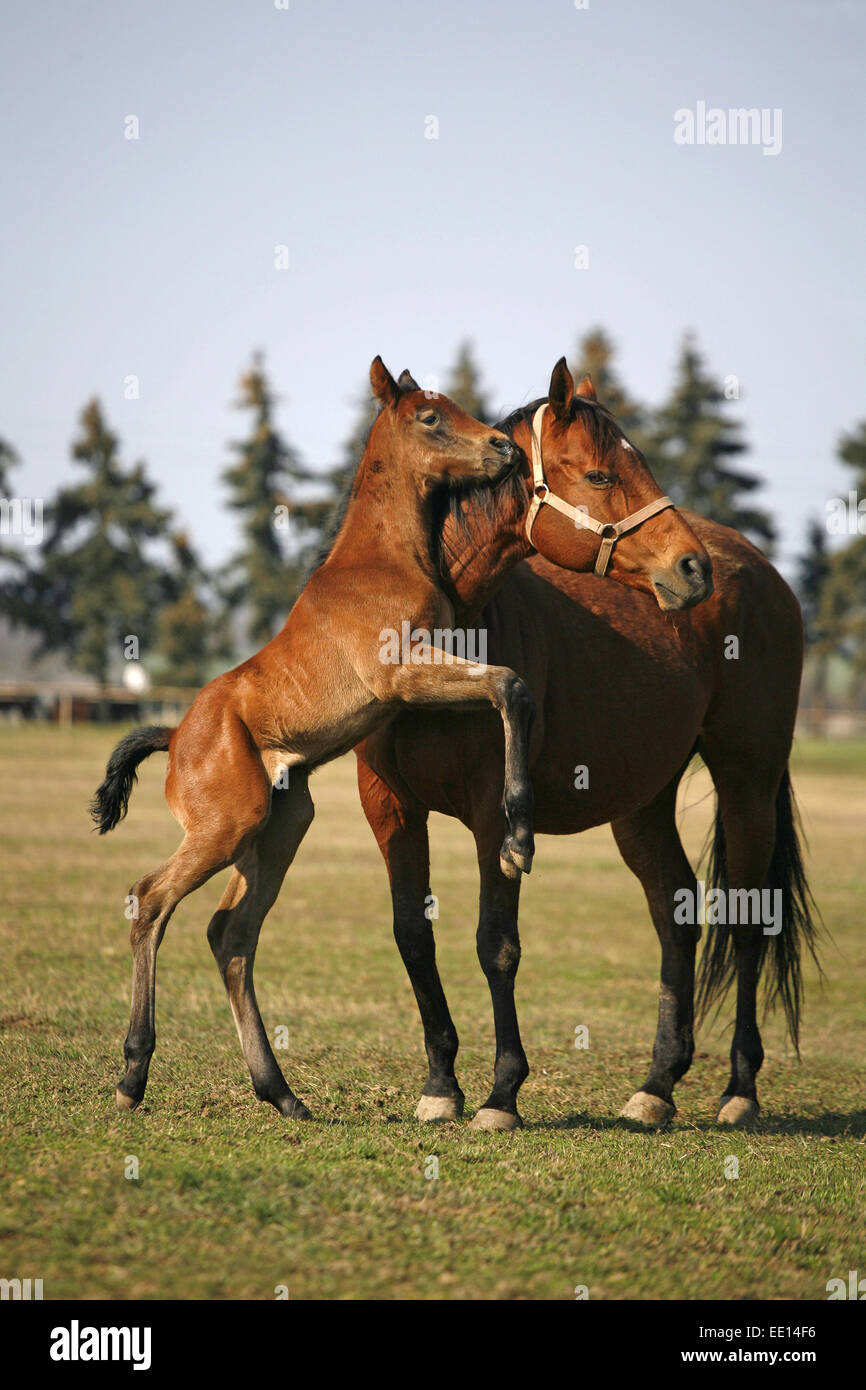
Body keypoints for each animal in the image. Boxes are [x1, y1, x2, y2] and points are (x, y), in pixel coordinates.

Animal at [93, 356, 711, 1120]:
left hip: (280, 824)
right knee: (151, 900)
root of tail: (177, 733)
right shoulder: (403, 676)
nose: (502, 450)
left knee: (230, 933)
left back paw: (282, 1093)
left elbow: (506, 686)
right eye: (430, 416)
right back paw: (132, 1075)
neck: (381, 560)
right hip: (226, 823)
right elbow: (510, 686)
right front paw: (518, 836)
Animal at [355, 367, 819, 1131]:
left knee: (748, 921)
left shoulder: (495, 817)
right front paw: (441, 1085)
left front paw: (501, 1094)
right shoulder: (390, 807)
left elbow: (496, 945)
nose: (691, 568)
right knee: (676, 916)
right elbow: (411, 936)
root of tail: (759, 570)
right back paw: (656, 1086)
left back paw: (739, 1090)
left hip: (747, 781)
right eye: (602, 473)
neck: (443, 645)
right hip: (643, 804)